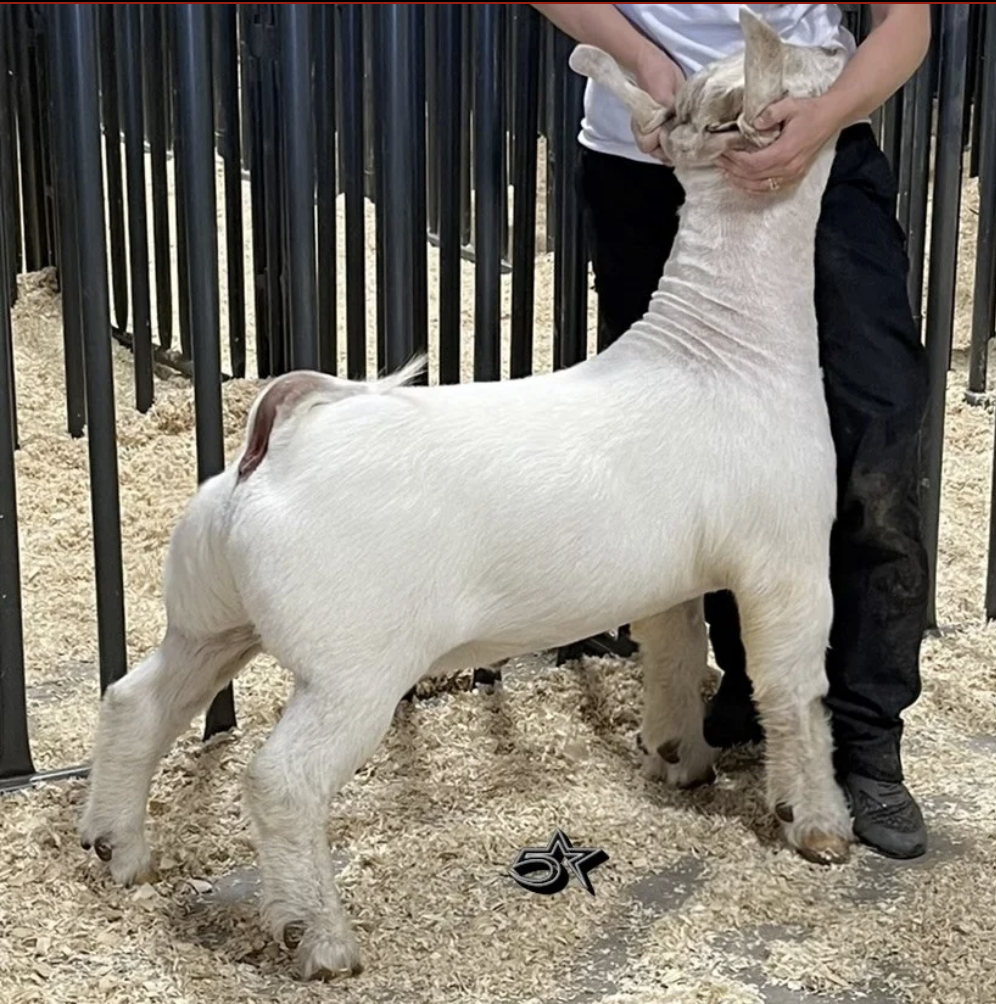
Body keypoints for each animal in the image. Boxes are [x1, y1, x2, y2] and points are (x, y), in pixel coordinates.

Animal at [79, 9, 853, 981]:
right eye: (799, 64)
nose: (844, 44)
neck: (725, 352)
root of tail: (278, 449)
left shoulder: (669, 574)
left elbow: (673, 654)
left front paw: (681, 761)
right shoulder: (788, 556)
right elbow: (794, 685)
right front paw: (817, 826)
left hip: (211, 615)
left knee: (137, 700)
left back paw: (118, 850)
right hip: (352, 665)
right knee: (282, 778)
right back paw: (319, 938)